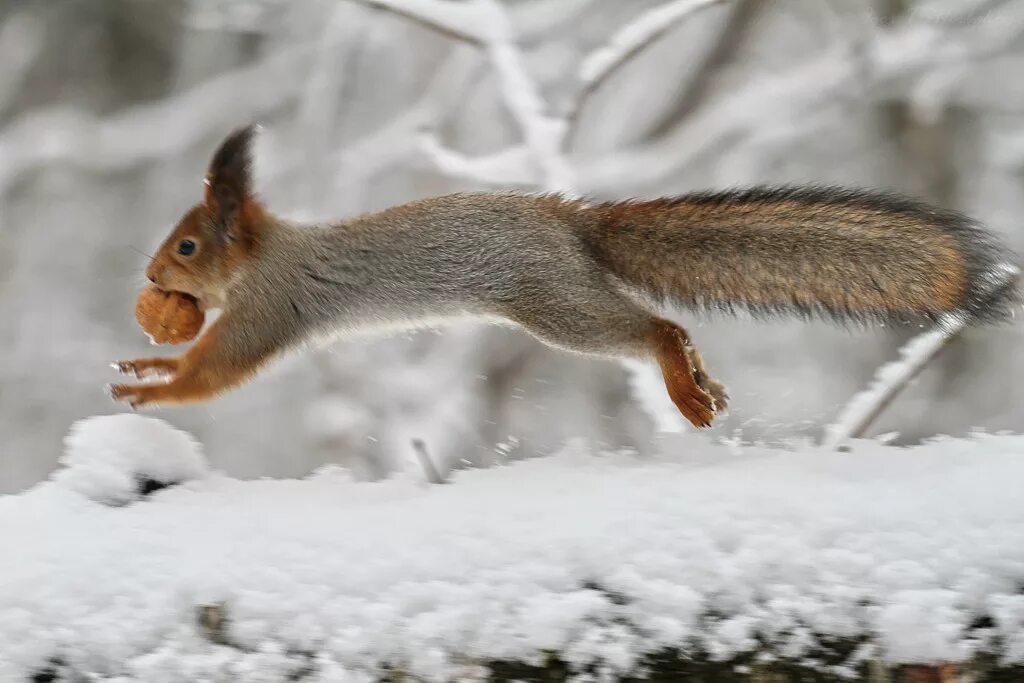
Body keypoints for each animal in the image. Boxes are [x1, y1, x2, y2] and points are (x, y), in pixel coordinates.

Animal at [110, 126, 1015, 428]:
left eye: (187, 247)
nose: (148, 272)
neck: (261, 254)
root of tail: (568, 223)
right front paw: (144, 361)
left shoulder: (268, 306)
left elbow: (217, 372)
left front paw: (151, 388)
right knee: (668, 327)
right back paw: (707, 385)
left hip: (554, 304)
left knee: (655, 326)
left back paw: (685, 387)